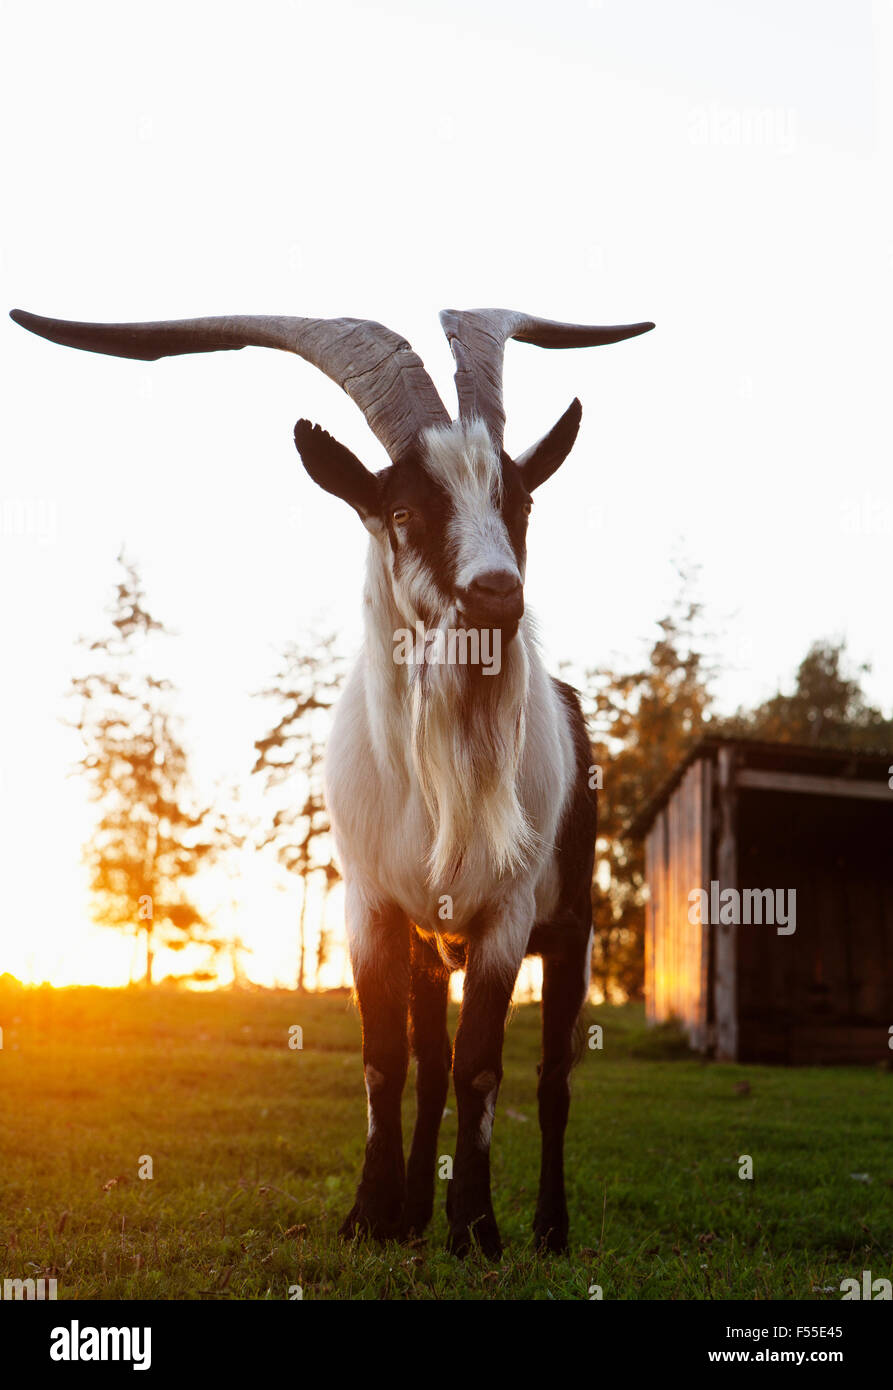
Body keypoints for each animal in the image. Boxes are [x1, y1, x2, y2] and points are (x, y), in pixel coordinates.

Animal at [10, 303, 654, 1256]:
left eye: (519, 499)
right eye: (403, 508)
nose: (496, 596)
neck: (435, 778)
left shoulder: (503, 915)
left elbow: (483, 1066)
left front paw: (475, 1231)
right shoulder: (372, 907)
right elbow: (388, 1059)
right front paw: (372, 1217)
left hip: (568, 928)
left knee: (549, 1080)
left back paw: (546, 1230)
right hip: (431, 944)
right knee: (432, 1060)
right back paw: (418, 1213)